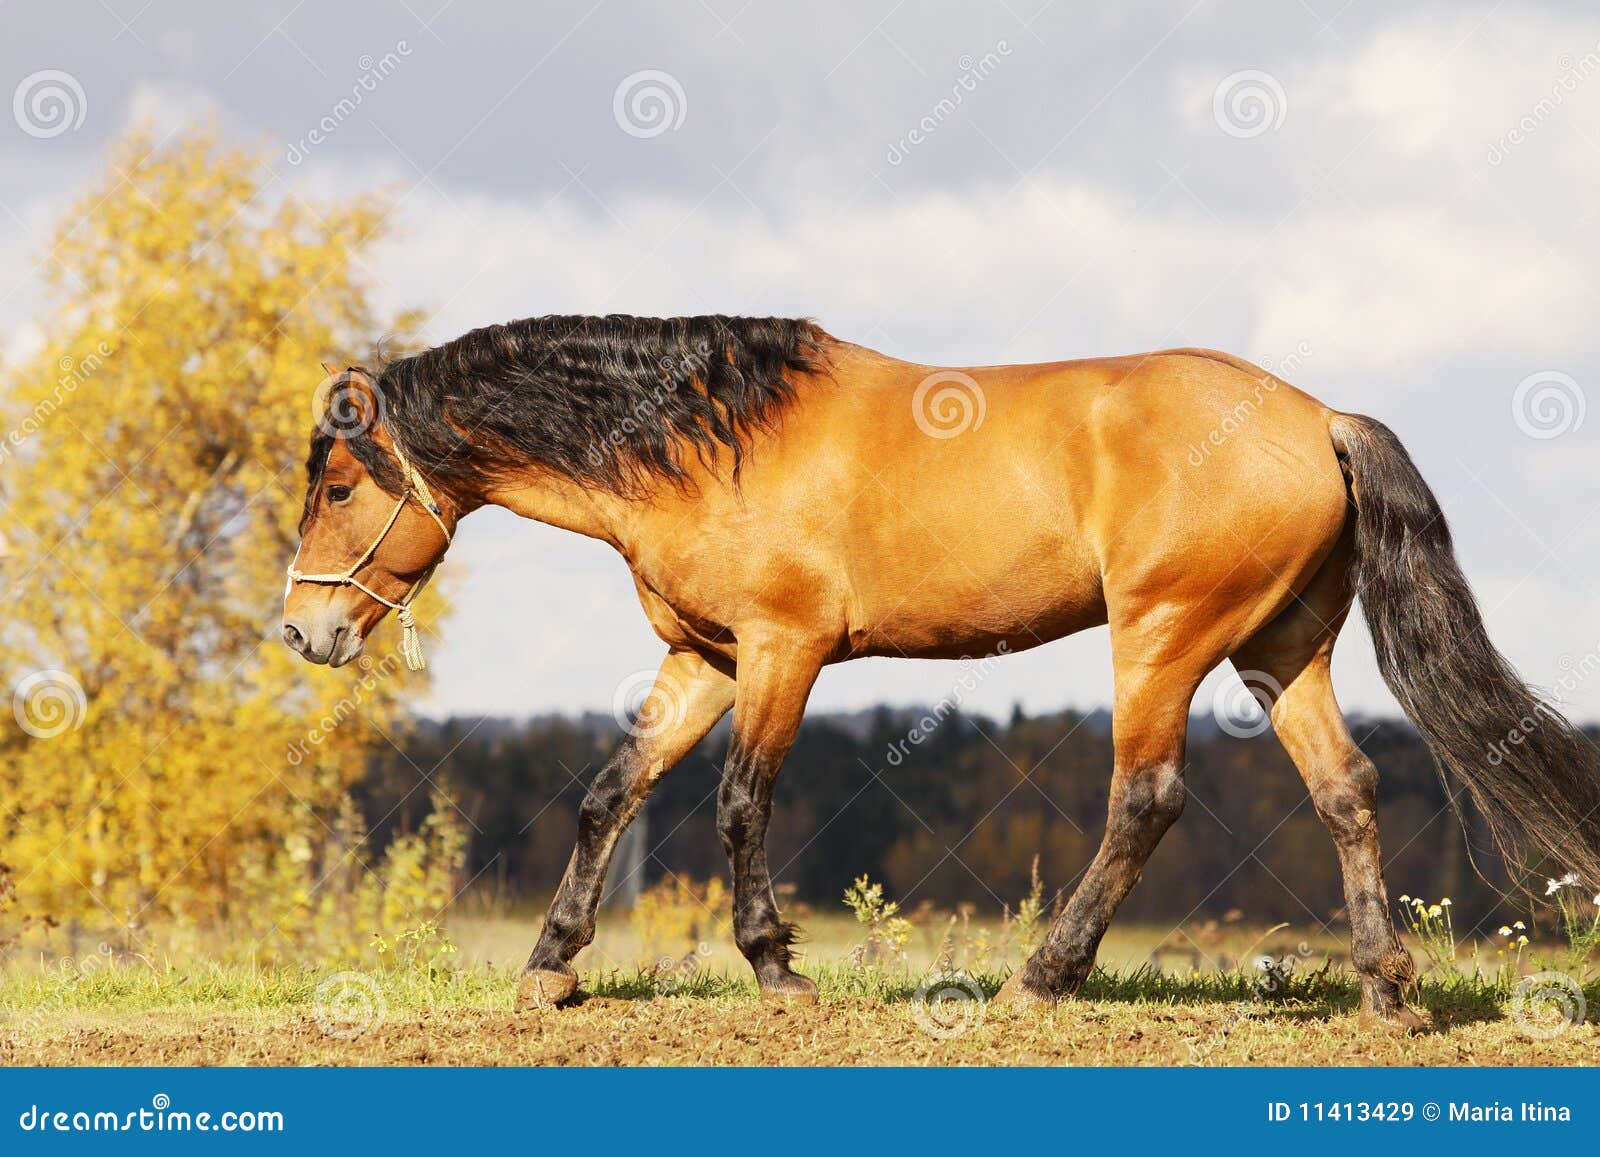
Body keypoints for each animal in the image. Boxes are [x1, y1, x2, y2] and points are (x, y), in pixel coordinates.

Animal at [282, 314, 1600, 1030]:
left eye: (339, 483)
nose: (303, 633)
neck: (709, 442)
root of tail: (1318, 416)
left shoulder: (783, 650)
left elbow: (741, 800)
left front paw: (776, 969)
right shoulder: (702, 655)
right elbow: (614, 792)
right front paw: (550, 967)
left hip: (1163, 635)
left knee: (1146, 797)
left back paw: (1039, 978)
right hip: (1279, 650)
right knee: (1344, 791)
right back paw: (1386, 990)